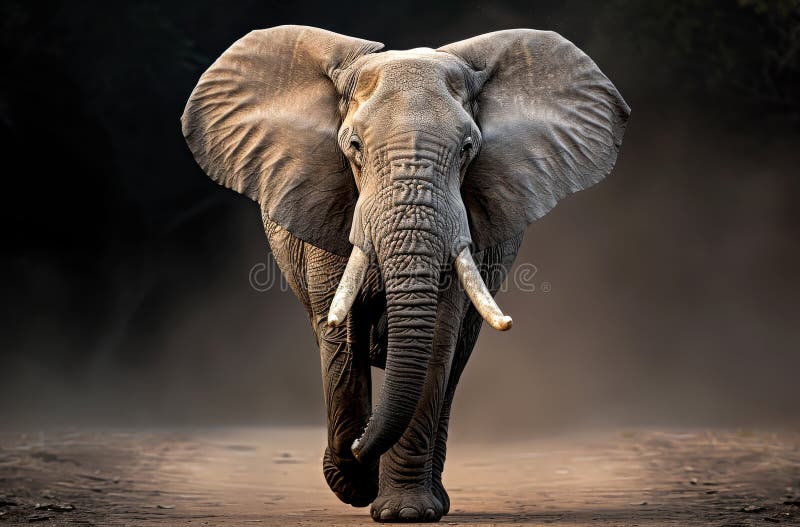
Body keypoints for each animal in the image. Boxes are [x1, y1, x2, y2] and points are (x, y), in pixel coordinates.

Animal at [181, 25, 629, 522]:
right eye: (353, 147)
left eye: (468, 149)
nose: (359, 448)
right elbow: (340, 338)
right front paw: (356, 478)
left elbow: (434, 337)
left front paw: (402, 511)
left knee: (454, 364)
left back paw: (432, 498)